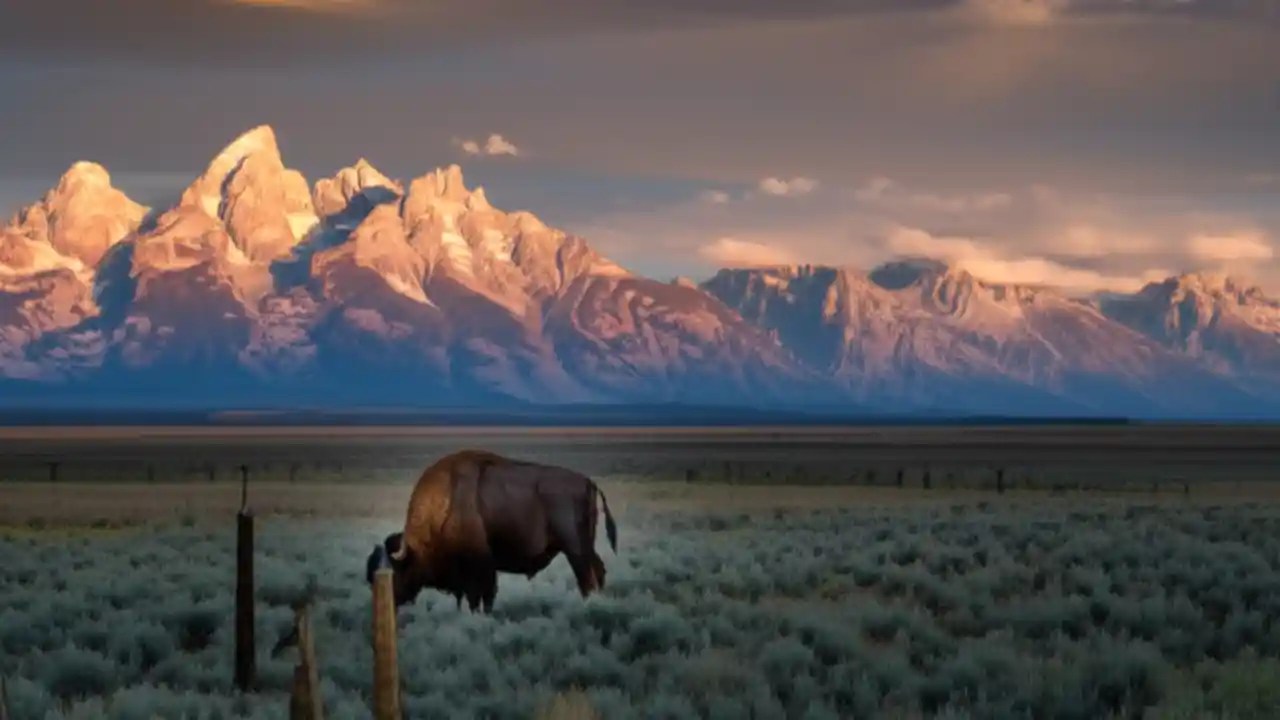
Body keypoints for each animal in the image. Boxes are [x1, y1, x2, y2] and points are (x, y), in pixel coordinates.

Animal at [365, 450, 618, 613]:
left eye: (395, 570)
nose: (388, 603)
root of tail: (588, 482)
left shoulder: (480, 570)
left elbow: (480, 599)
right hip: (587, 547)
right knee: (599, 572)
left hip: (575, 550)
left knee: (587, 580)